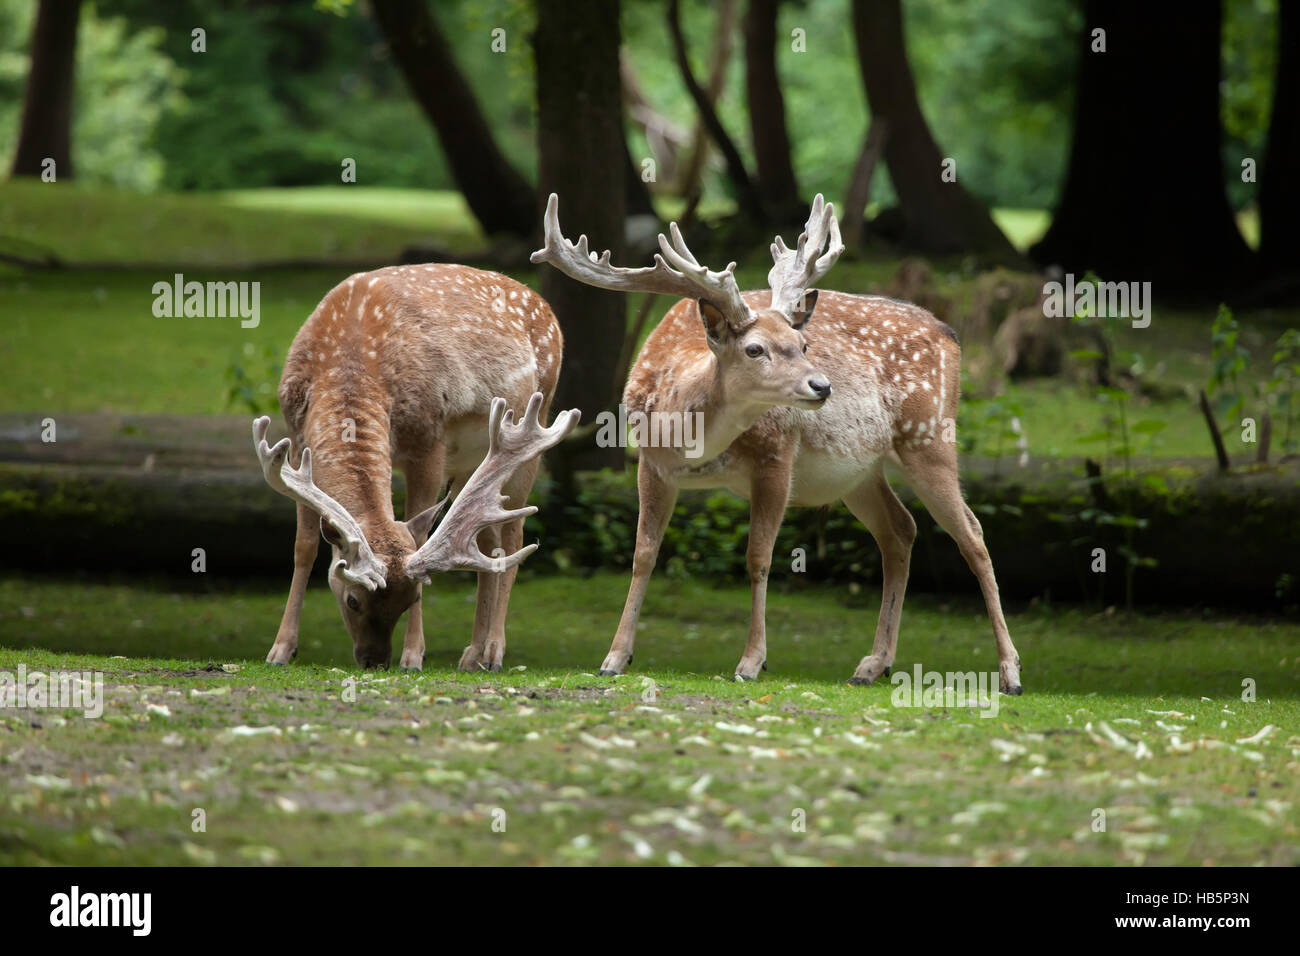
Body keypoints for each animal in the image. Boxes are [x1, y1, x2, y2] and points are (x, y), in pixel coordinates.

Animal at [253, 264, 579, 671]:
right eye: (353, 600)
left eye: (413, 598)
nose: (375, 660)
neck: (351, 358)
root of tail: (545, 306)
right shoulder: (296, 439)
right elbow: (305, 545)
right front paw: (280, 649)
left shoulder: (429, 439)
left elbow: (421, 541)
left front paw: (413, 654)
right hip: (475, 463)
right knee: (488, 543)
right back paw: (472, 654)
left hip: (535, 427)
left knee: (513, 538)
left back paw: (493, 651)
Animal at [533, 192, 1019, 697]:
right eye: (755, 349)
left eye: (802, 344)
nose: (822, 385)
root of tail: (951, 334)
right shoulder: (650, 463)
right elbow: (643, 553)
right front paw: (614, 658)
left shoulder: (776, 456)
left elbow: (758, 558)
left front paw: (751, 661)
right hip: (858, 472)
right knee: (900, 529)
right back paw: (872, 664)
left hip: (930, 436)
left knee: (973, 535)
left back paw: (1010, 672)